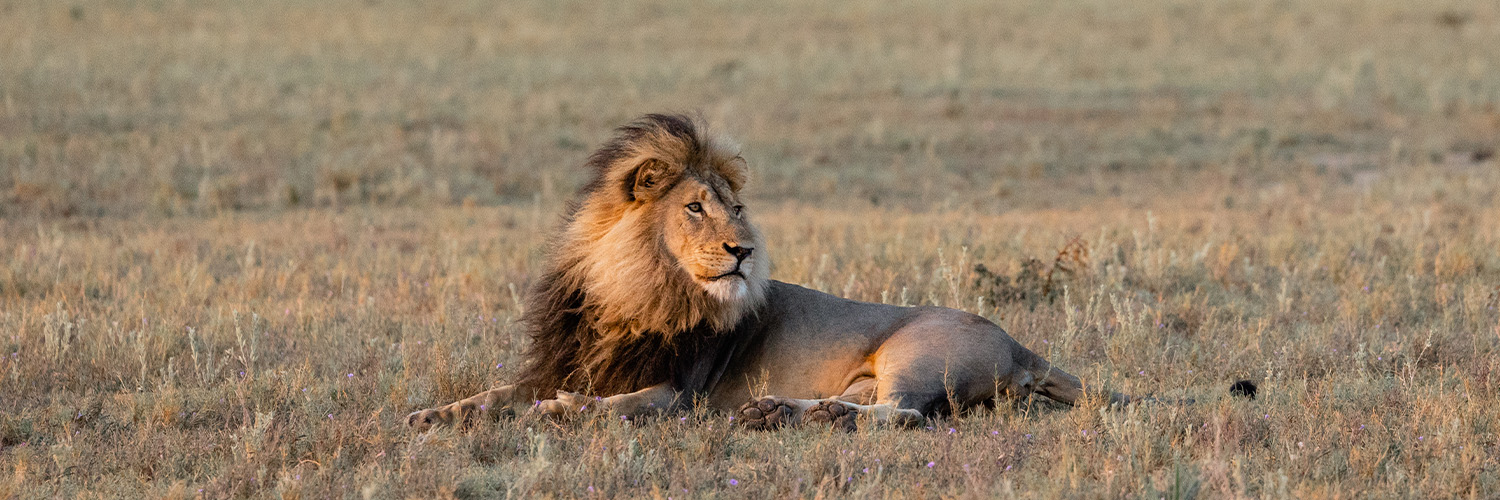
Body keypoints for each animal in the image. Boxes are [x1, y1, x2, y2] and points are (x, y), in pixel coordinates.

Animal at [406, 113, 1222, 432]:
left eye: (737, 207)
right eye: (696, 207)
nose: (742, 251)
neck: (633, 287)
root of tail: (1021, 343)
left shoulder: (678, 393)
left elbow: (613, 405)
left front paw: (566, 411)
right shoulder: (559, 359)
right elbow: (492, 395)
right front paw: (432, 414)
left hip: (915, 352)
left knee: (904, 415)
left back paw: (793, 414)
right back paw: (780, 411)